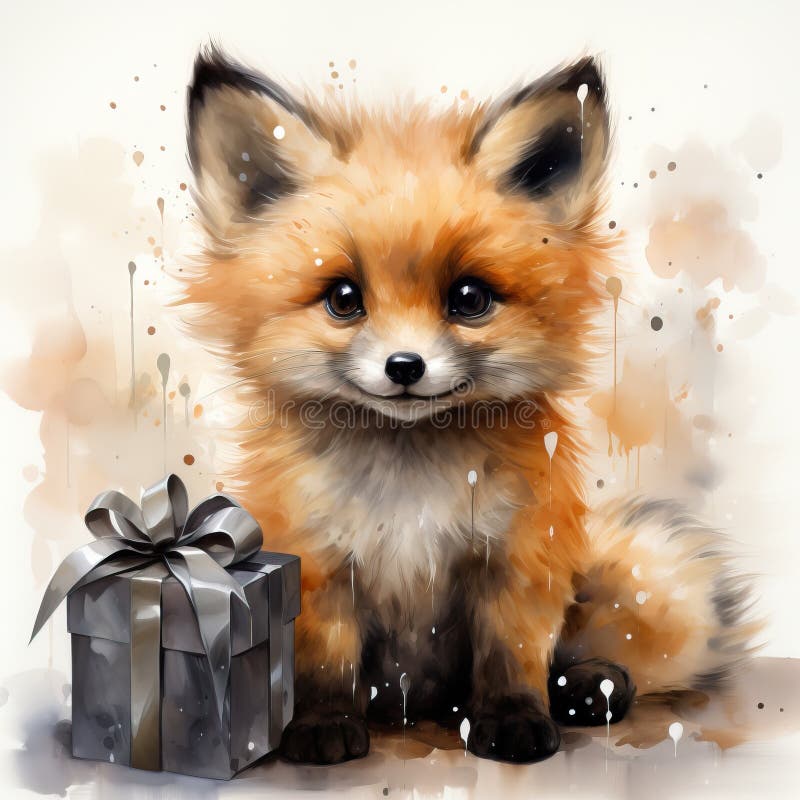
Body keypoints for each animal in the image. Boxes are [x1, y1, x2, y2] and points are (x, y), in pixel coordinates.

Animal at [180, 47, 755, 764]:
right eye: (343, 298)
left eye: (469, 298)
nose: (405, 367)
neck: (409, 491)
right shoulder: (316, 565)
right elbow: (322, 659)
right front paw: (321, 723)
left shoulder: (517, 557)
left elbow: (511, 654)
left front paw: (512, 721)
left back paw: (586, 686)